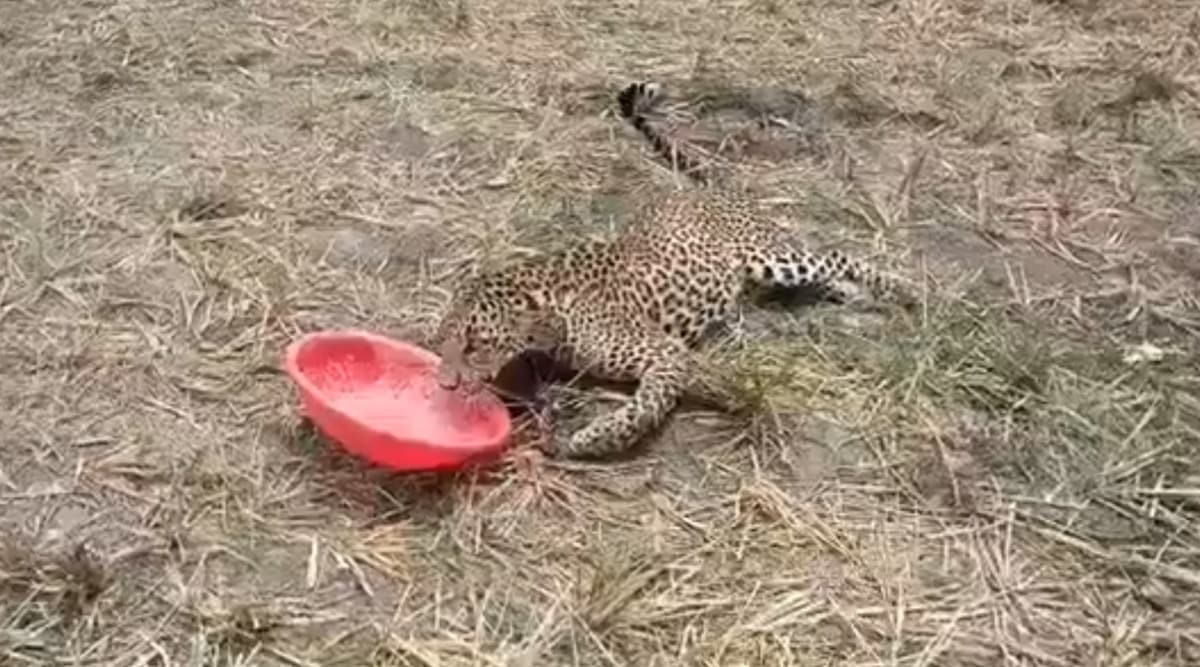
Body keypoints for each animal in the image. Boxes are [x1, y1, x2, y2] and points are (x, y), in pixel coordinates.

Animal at [430, 80, 916, 460]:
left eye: (475, 344)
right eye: (441, 344)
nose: (445, 387)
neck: (549, 310)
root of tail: (710, 191)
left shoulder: (667, 355)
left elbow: (645, 408)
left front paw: (591, 439)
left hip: (769, 257)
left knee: (835, 254)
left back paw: (905, 289)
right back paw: (850, 293)